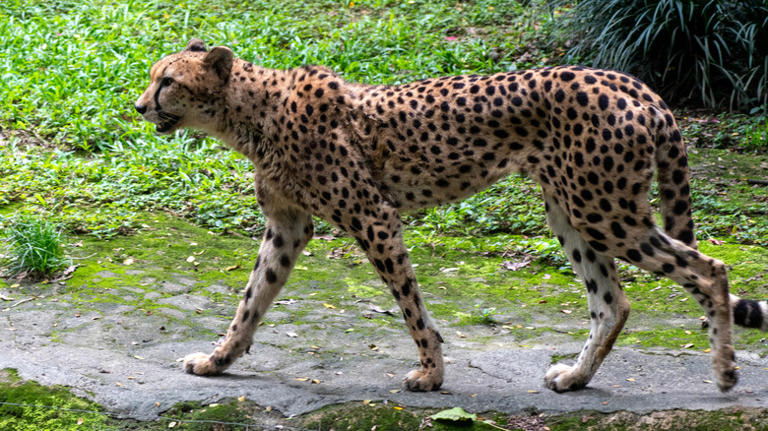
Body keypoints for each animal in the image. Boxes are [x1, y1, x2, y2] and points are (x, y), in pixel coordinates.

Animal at [135, 38, 768, 394]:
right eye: (152, 77)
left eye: (168, 81)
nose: (140, 106)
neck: (250, 113)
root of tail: (633, 81)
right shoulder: (288, 226)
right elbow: (250, 303)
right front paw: (217, 361)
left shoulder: (374, 217)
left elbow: (411, 305)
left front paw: (431, 374)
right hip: (569, 210)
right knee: (614, 301)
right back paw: (575, 377)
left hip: (602, 208)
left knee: (708, 268)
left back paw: (725, 372)